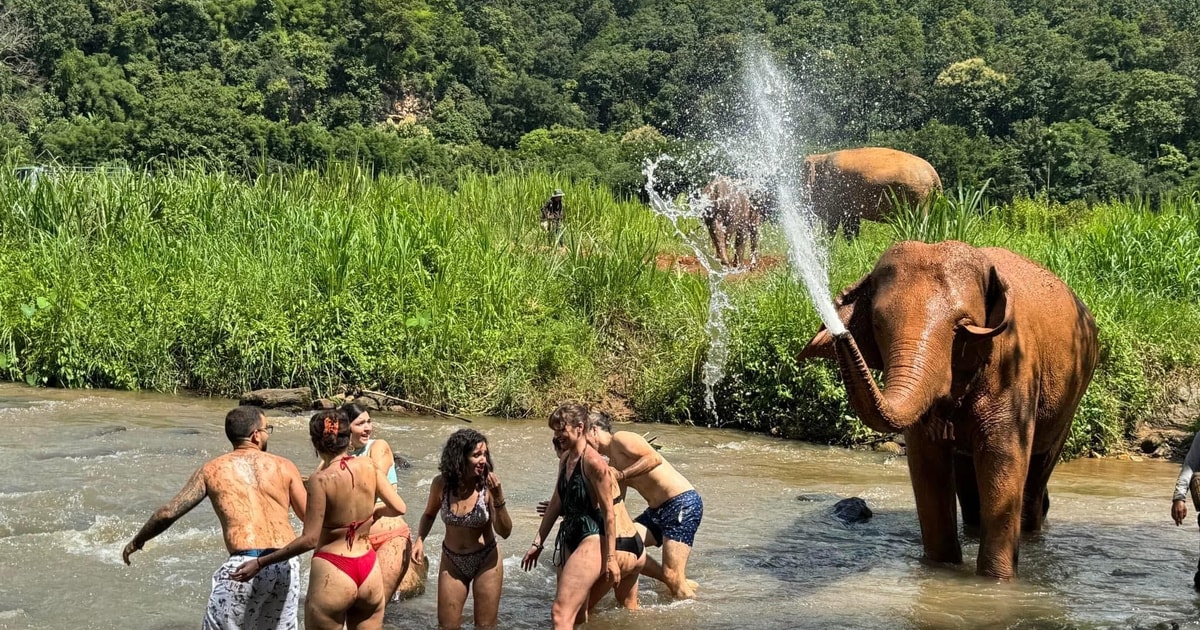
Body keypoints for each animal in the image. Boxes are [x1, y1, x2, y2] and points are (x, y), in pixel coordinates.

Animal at [798, 240, 1099, 579]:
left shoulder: (1015, 366)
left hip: (1074, 389)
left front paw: (996, 581)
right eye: (877, 325)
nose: (839, 332)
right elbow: (927, 463)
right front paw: (940, 569)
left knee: (1037, 473)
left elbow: (1003, 458)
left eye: (961, 328)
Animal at [803, 147, 942, 236]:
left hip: (919, 196)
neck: (821, 157)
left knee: (920, 223)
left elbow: (833, 221)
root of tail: (934, 175)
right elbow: (851, 225)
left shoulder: (834, 191)